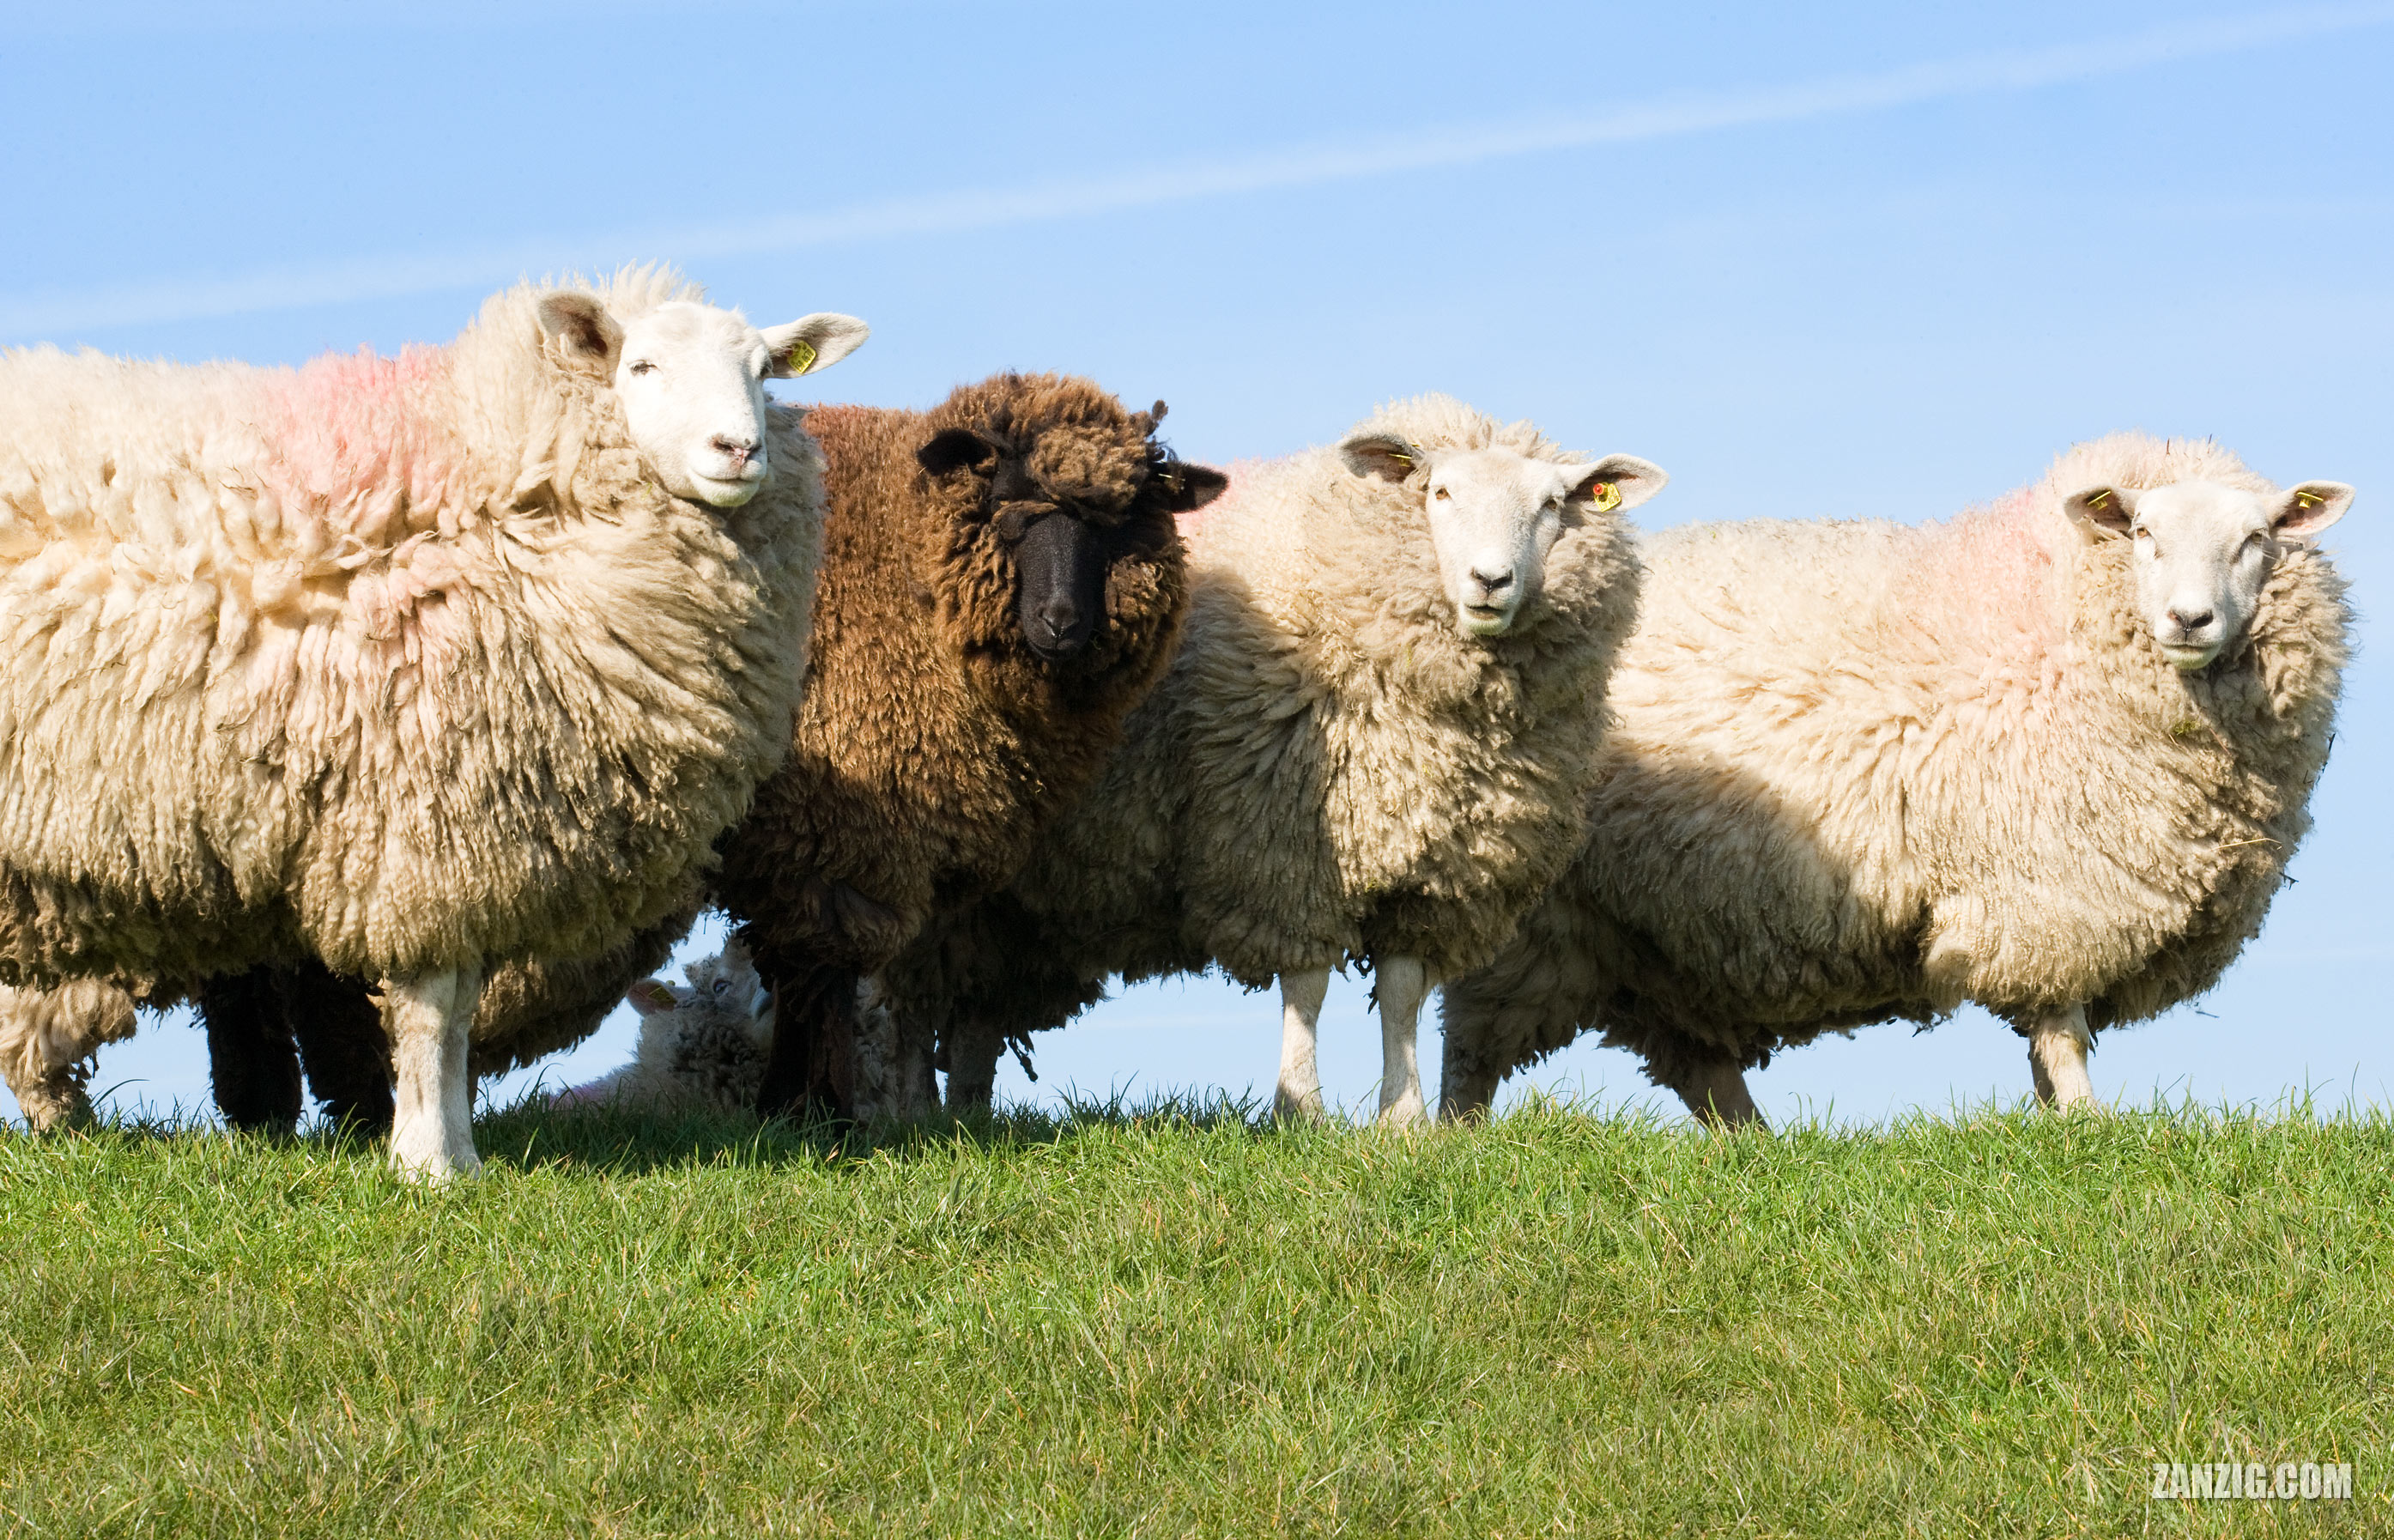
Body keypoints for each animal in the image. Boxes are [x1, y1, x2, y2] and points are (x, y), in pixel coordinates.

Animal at [0, 267, 865, 1177]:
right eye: (642, 366)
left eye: (766, 371)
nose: (738, 451)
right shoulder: (426, 826)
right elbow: (432, 1010)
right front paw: (428, 1162)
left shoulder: (481, 832)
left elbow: (457, 1016)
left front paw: (457, 1155)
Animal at [710, 372, 1225, 1122]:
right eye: (1007, 505)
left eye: (1116, 523)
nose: (1061, 622)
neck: (900, 552)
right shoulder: (832, 817)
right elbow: (820, 969)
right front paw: (819, 1113)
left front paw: (790, 1108)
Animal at [908, 395, 1663, 1126]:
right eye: (1440, 492)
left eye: (1550, 505)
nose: (1490, 581)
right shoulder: (1286, 836)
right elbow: (1306, 985)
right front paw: (1299, 1108)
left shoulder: (1431, 873)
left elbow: (1401, 991)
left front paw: (1403, 1118)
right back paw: (912, 1112)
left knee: (974, 1003)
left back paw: (964, 1113)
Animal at [1435, 432, 2354, 1126]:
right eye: (2143, 535)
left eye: (2256, 539)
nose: (2188, 620)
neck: (2060, 617)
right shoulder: (2050, 890)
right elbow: (2060, 1028)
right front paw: (2091, 1125)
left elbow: (2044, 1041)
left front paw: (2058, 1124)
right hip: (1537, 907)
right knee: (1472, 1045)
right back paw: (1455, 1140)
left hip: (1657, 931)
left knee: (1695, 1060)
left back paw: (1755, 1148)